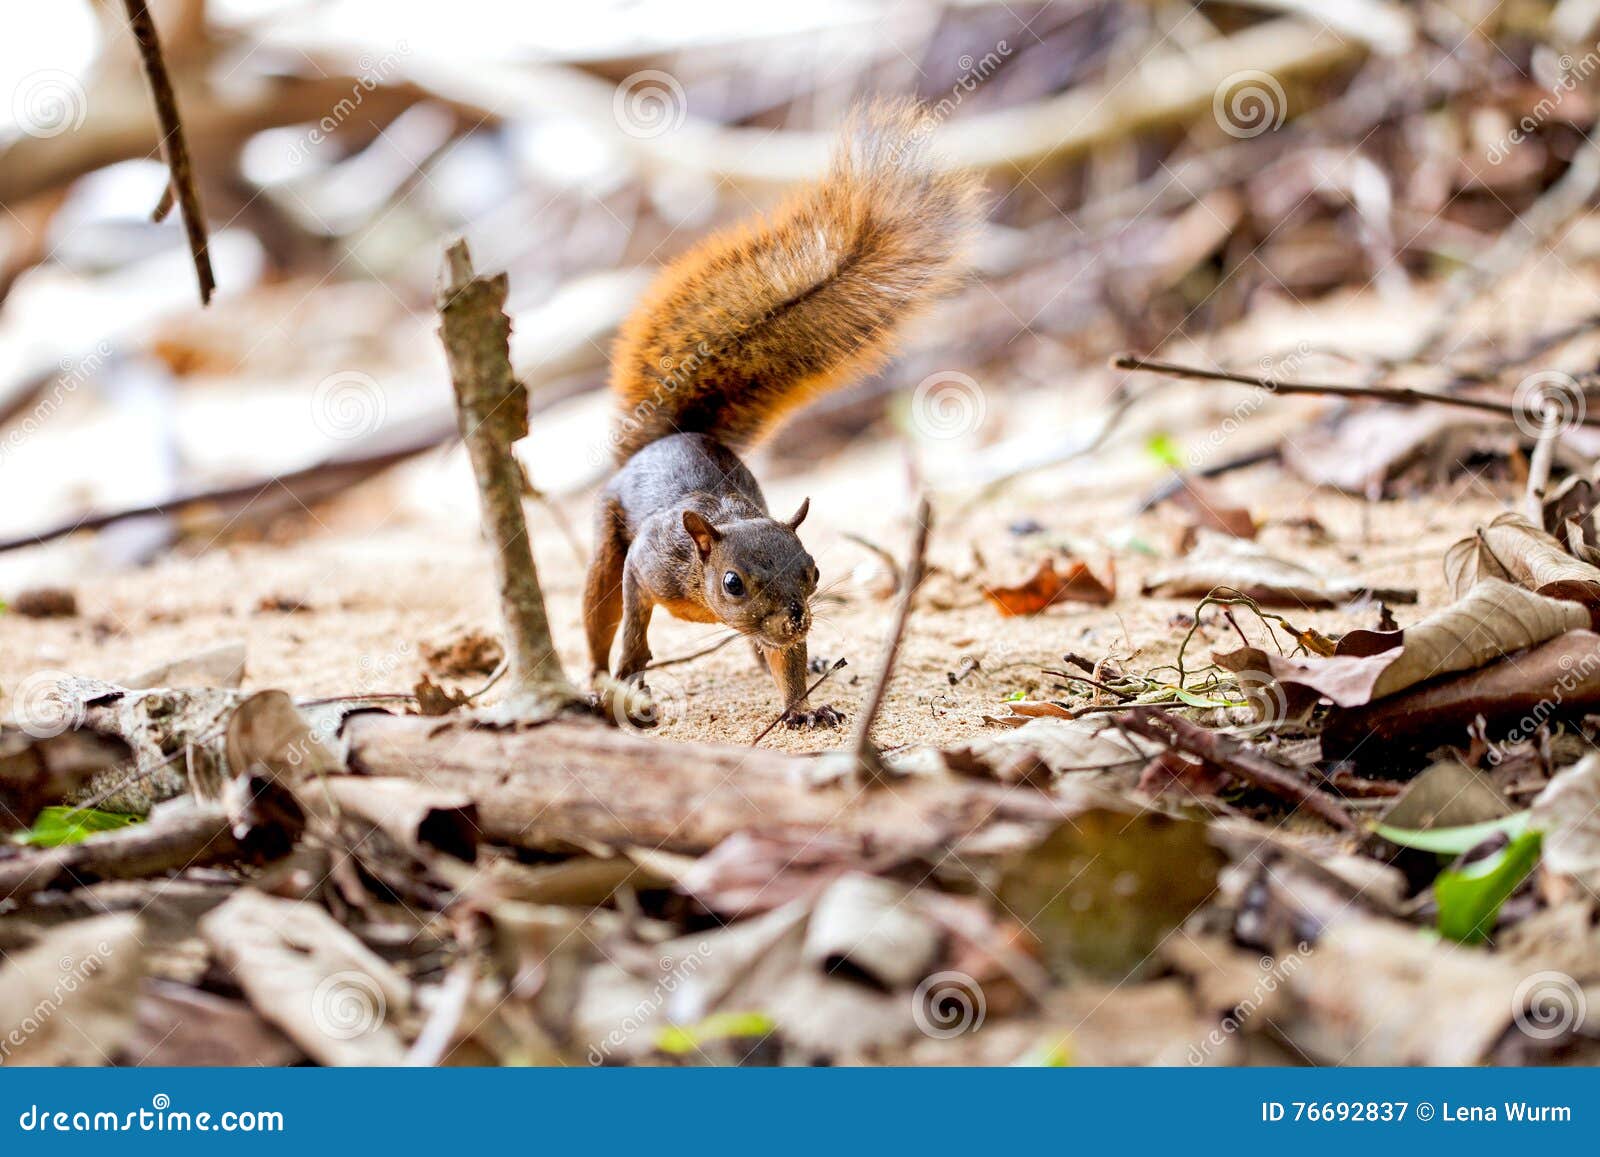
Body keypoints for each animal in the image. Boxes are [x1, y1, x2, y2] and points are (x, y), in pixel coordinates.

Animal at [583, 100, 983, 727]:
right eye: (732, 582)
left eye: (813, 570)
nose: (797, 616)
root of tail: (670, 435)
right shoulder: (649, 561)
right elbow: (635, 617)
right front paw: (632, 668)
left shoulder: (782, 631)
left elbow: (785, 659)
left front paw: (802, 706)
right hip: (606, 540)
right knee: (598, 611)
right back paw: (600, 678)